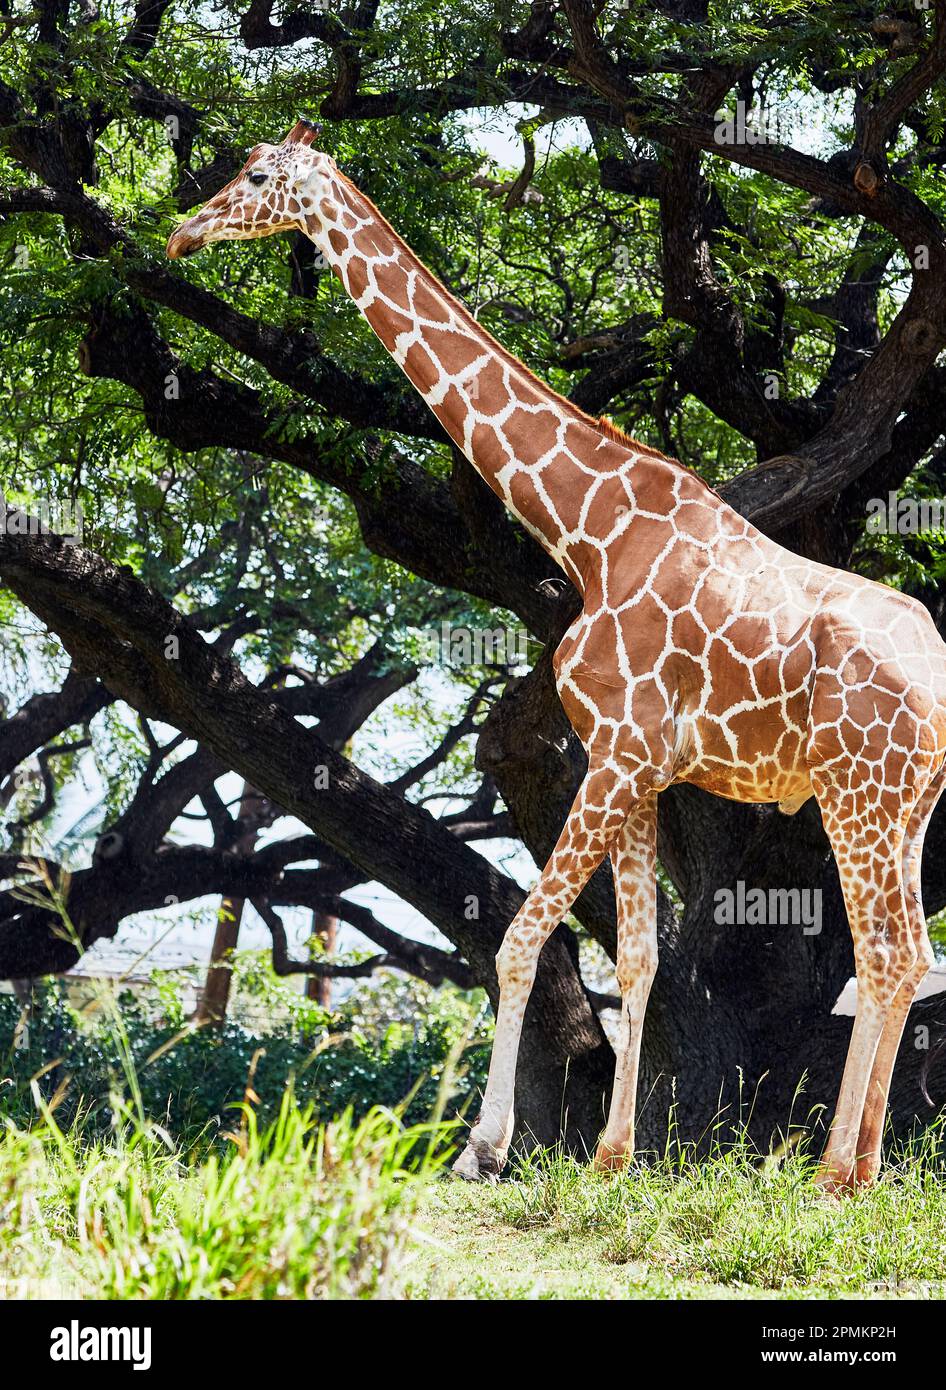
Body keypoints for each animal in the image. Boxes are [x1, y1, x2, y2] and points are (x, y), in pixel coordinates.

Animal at [167, 119, 946, 1193]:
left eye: (251, 175)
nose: (180, 231)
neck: (586, 534)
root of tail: (943, 678)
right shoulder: (645, 770)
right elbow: (639, 960)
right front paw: (616, 1155)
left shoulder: (615, 752)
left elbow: (518, 939)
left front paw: (482, 1148)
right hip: (902, 805)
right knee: (904, 954)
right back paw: (861, 1166)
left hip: (856, 794)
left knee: (880, 953)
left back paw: (834, 1172)